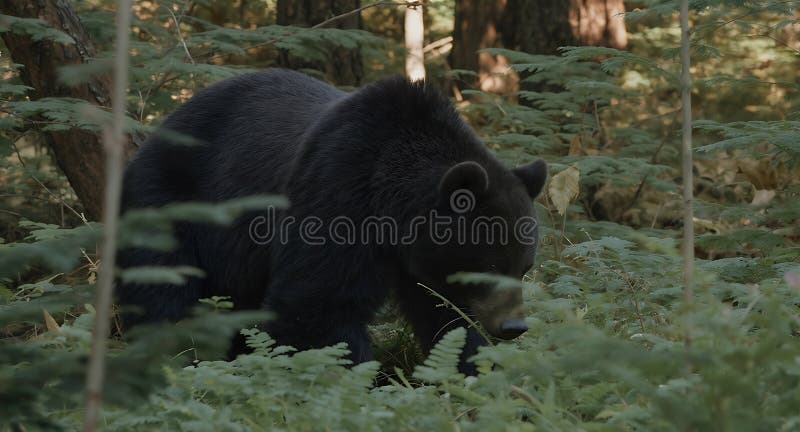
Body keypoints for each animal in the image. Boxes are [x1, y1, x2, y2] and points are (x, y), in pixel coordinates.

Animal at [117, 69, 547, 375]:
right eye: (487, 265)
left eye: (524, 267)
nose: (513, 326)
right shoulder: (339, 187)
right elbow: (319, 302)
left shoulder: (420, 261)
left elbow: (446, 316)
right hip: (173, 198)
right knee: (162, 283)